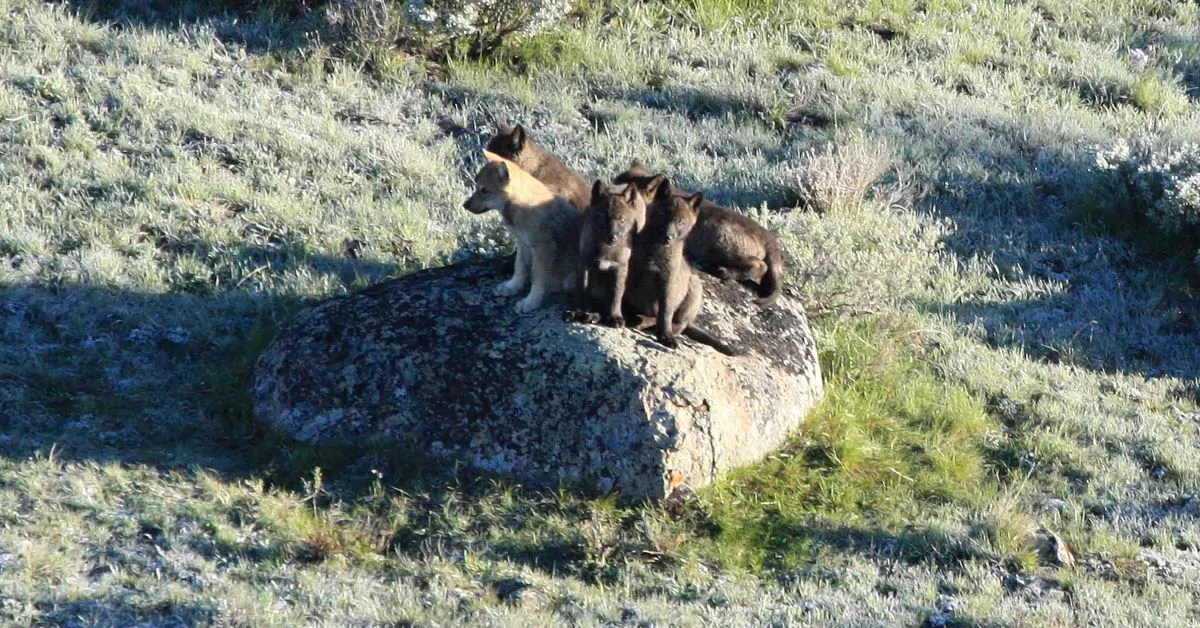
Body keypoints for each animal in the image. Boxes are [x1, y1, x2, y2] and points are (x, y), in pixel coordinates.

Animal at [463, 150, 581, 313]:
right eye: (476, 187)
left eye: (485, 190)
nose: (465, 205)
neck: (520, 205)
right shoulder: (522, 243)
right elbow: (520, 267)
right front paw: (512, 286)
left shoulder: (543, 248)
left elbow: (537, 278)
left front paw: (531, 302)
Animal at [614, 162, 785, 307]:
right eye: (616, 180)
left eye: (626, 189)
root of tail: (770, 240)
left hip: (721, 242)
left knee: (760, 266)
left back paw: (724, 271)